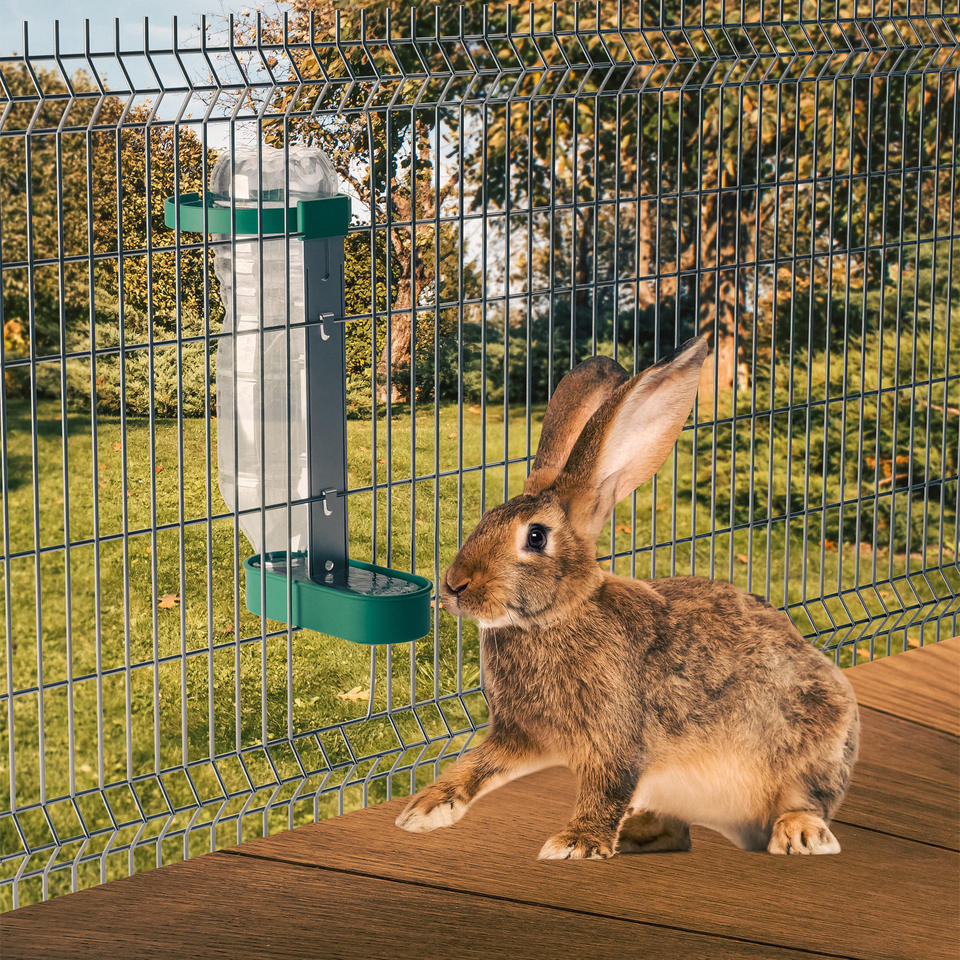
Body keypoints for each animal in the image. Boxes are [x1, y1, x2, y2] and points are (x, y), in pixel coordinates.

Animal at [396, 336, 859, 860]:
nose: (454, 586)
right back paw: (640, 832)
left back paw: (800, 834)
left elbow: (607, 786)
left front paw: (575, 844)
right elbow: (477, 764)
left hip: (812, 744)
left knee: (807, 798)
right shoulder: (521, 736)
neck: (557, 616)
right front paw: (425, 809)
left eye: (535, 537)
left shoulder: (617, 734)